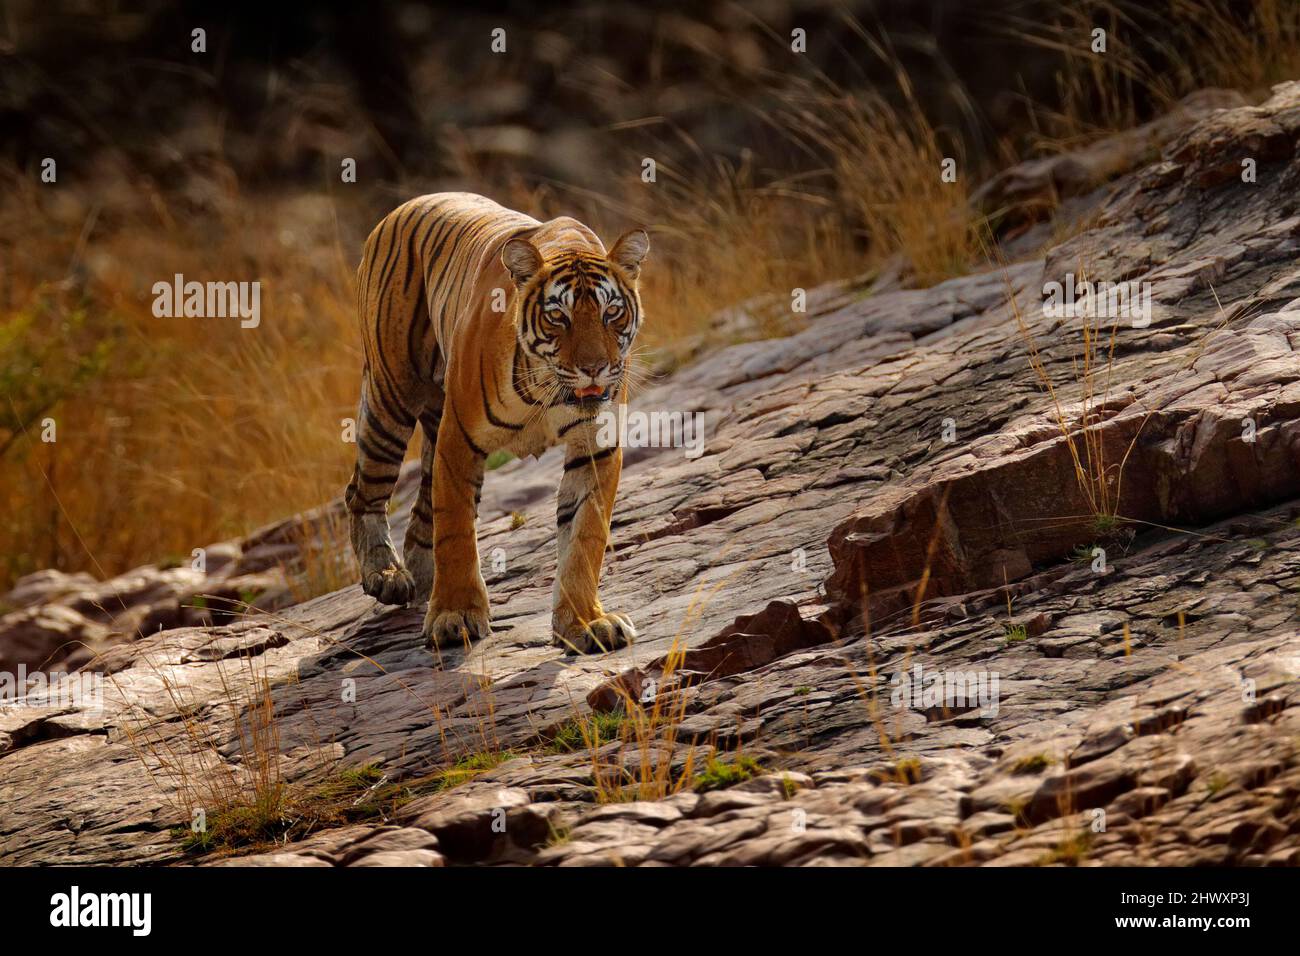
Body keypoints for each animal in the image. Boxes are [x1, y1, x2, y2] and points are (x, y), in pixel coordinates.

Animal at [344, 192, 649, 655]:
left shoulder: (595, 448)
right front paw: (456, 616)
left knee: (420, 509)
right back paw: (387, 574)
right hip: (390, 396)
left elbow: (584, 537)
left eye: (611, 313)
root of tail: (402, 207)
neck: (549, 388)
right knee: (363, 491)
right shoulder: (459, 439)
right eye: (558, 317)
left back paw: (422, 576)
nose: (594, 368)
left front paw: (586, 623)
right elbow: (456, 530)